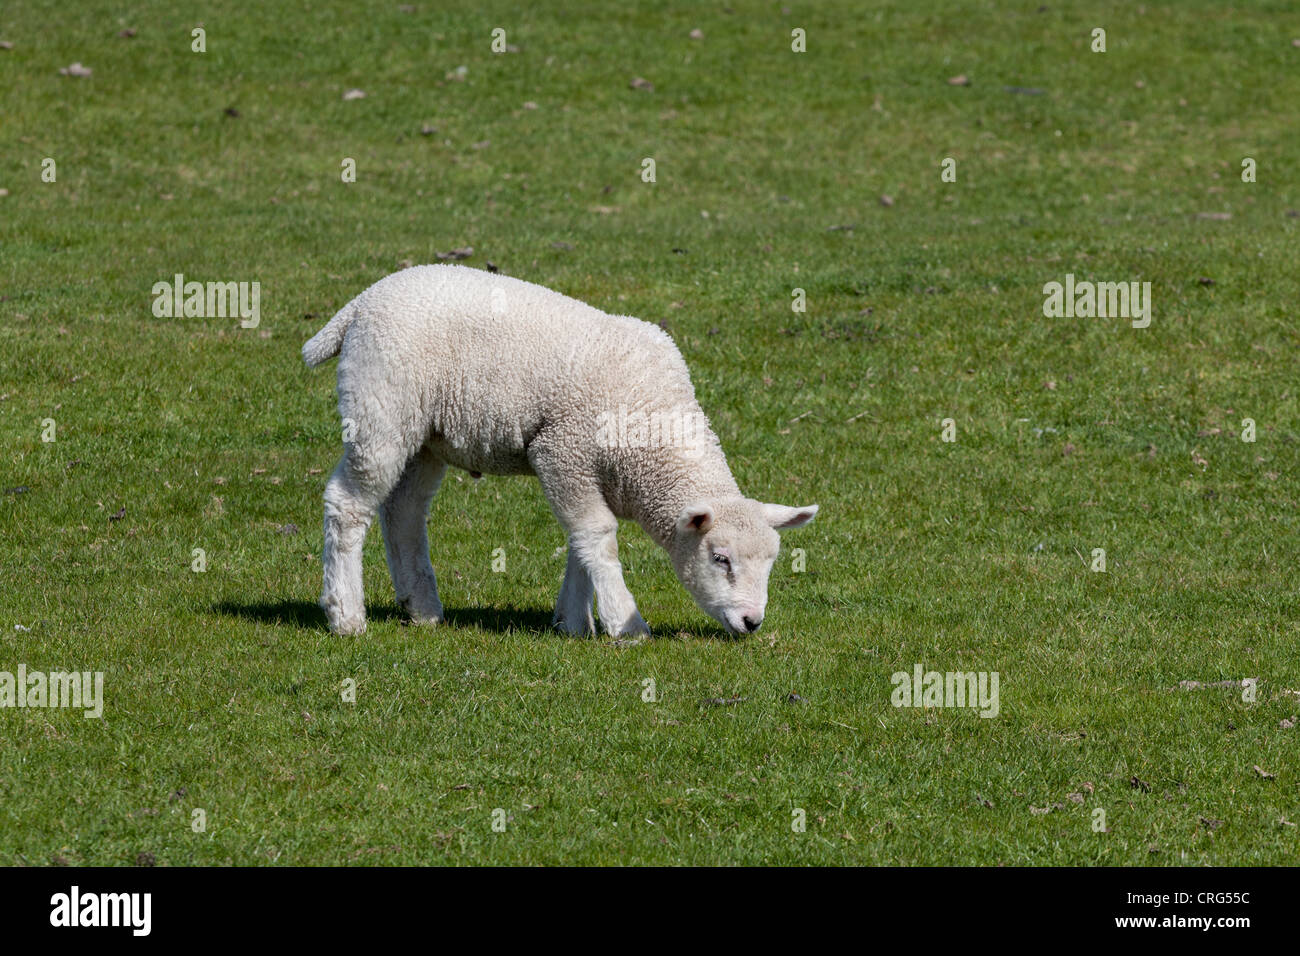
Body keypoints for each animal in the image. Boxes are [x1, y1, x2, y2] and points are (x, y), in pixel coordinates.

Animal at [302, 264, 818, 637]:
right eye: (720, 558)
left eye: (772, 561)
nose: (752, 622)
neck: (652, 424)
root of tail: (361, 303)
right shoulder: (561, 451)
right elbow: (597, 536)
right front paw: (625, 624)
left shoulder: (589, 472)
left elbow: (581, 543)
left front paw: (574, 620)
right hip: (380, 407)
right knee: (348, 504)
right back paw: (346, 616)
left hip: (425, 436)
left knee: (404, 511)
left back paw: (422, 608)